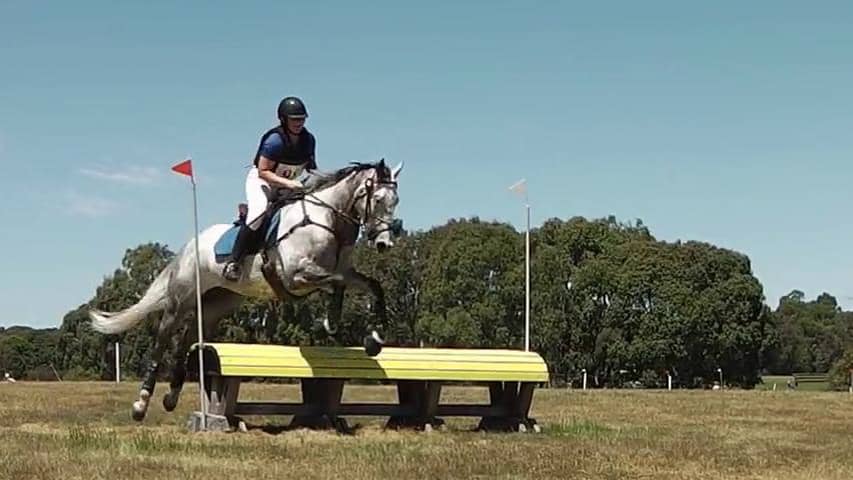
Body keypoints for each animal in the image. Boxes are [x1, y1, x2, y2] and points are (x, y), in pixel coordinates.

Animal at [88, 159, 403, 421]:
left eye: (396, 201)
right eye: (377, 199)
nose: (384, 244)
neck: (327, 220)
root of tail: (191, 243)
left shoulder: (344, 272)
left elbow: (371, 286)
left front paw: (374, 338)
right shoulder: (296, 276)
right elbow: (336, 283)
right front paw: (334, 322)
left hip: (218, 302)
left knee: (187, 337)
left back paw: (171, 396)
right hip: (182, 299)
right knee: (163, 339)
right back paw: (141, 404)